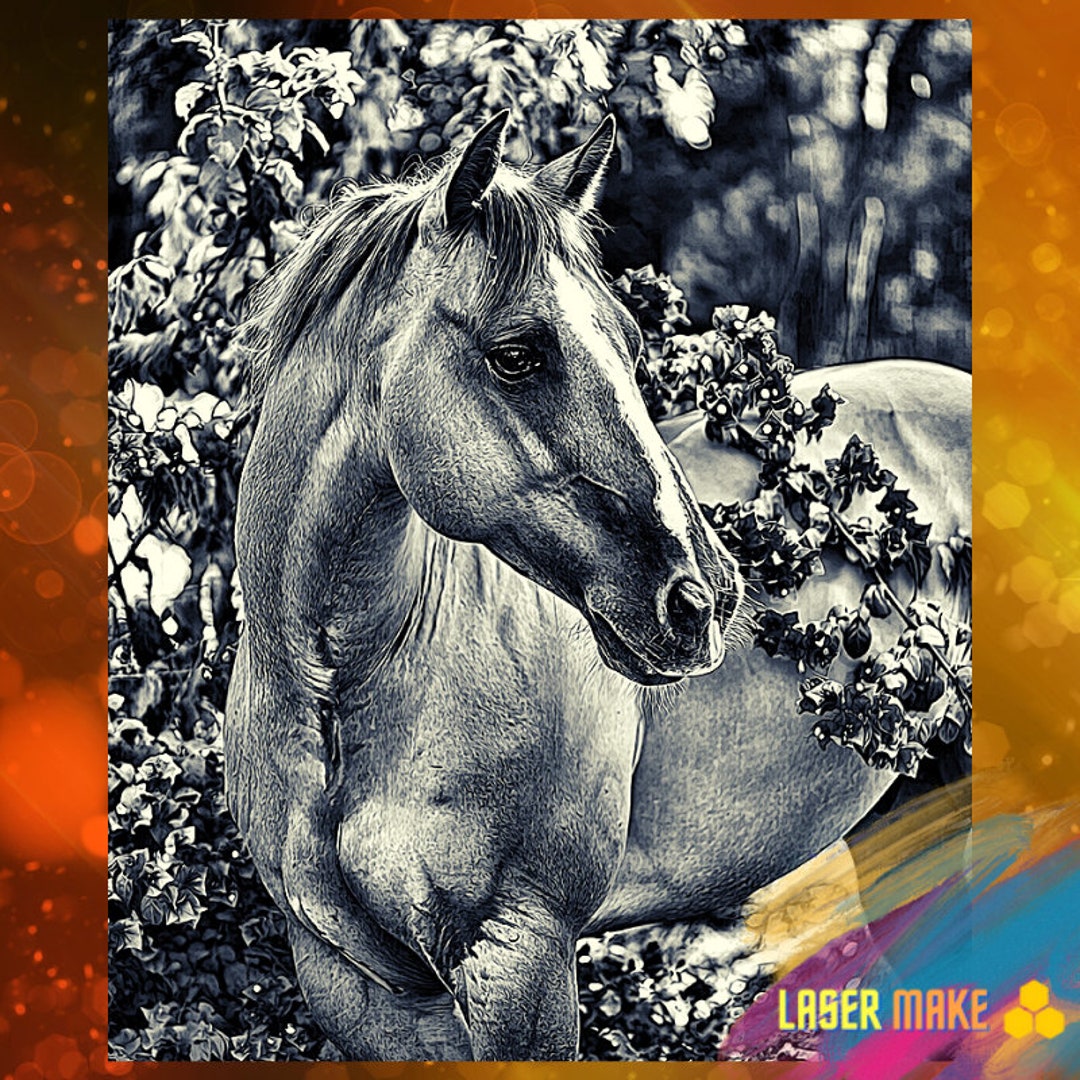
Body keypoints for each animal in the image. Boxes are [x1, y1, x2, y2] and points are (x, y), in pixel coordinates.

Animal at [224, 112, 971, 1061]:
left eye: (630, 342)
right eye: (516, 355)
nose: (703, 598)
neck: (344, 692)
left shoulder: (520, 960)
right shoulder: (358, 988)